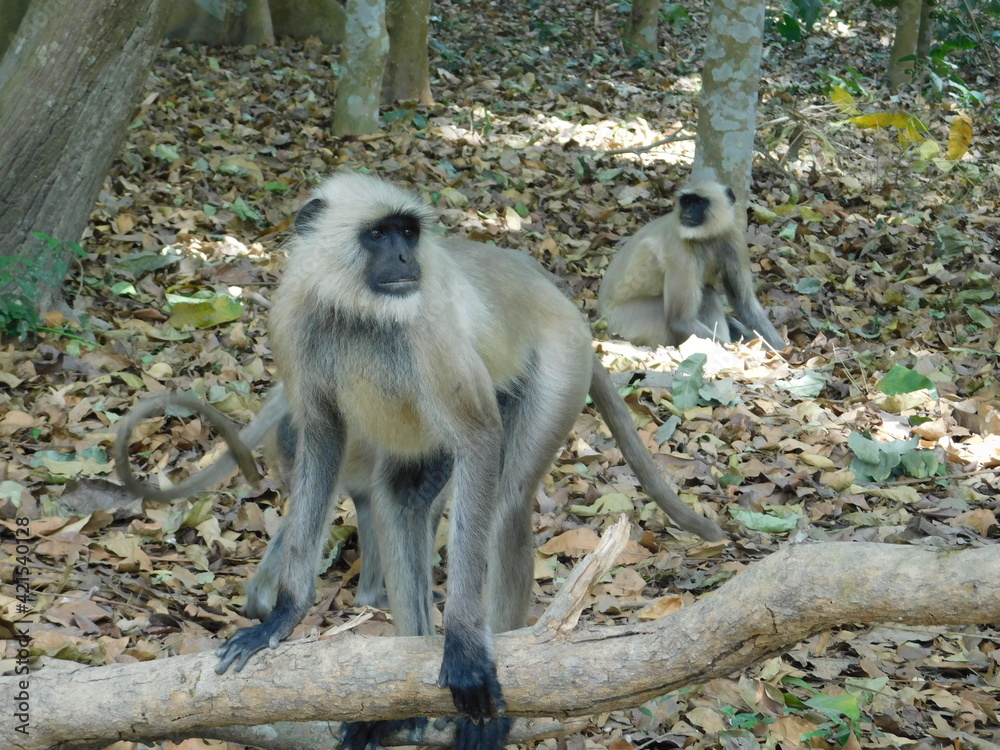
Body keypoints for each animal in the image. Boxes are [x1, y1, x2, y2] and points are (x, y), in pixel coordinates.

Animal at [116, 173, 725, 750]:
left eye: (408, 233)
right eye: (380, 235)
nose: (409, 259)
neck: (357, 312)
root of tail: (566, 307)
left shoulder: (427, 328)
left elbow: (478, 438)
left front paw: (464, 648)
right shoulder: (296, 322)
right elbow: (323, 435)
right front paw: (285, 615)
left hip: (559, 363)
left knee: (503, 504)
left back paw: (493, 710)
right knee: (399, 503)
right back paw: (401, 713)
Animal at [597, 178, 786, 351]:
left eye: (699, 202)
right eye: (686, 201)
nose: (687, 211)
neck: (706, 237)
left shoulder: (734, 239)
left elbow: (743, 301)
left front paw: (781, 350)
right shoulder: (679, 251)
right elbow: (680, 320)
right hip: (632, 320)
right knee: (706, 295)